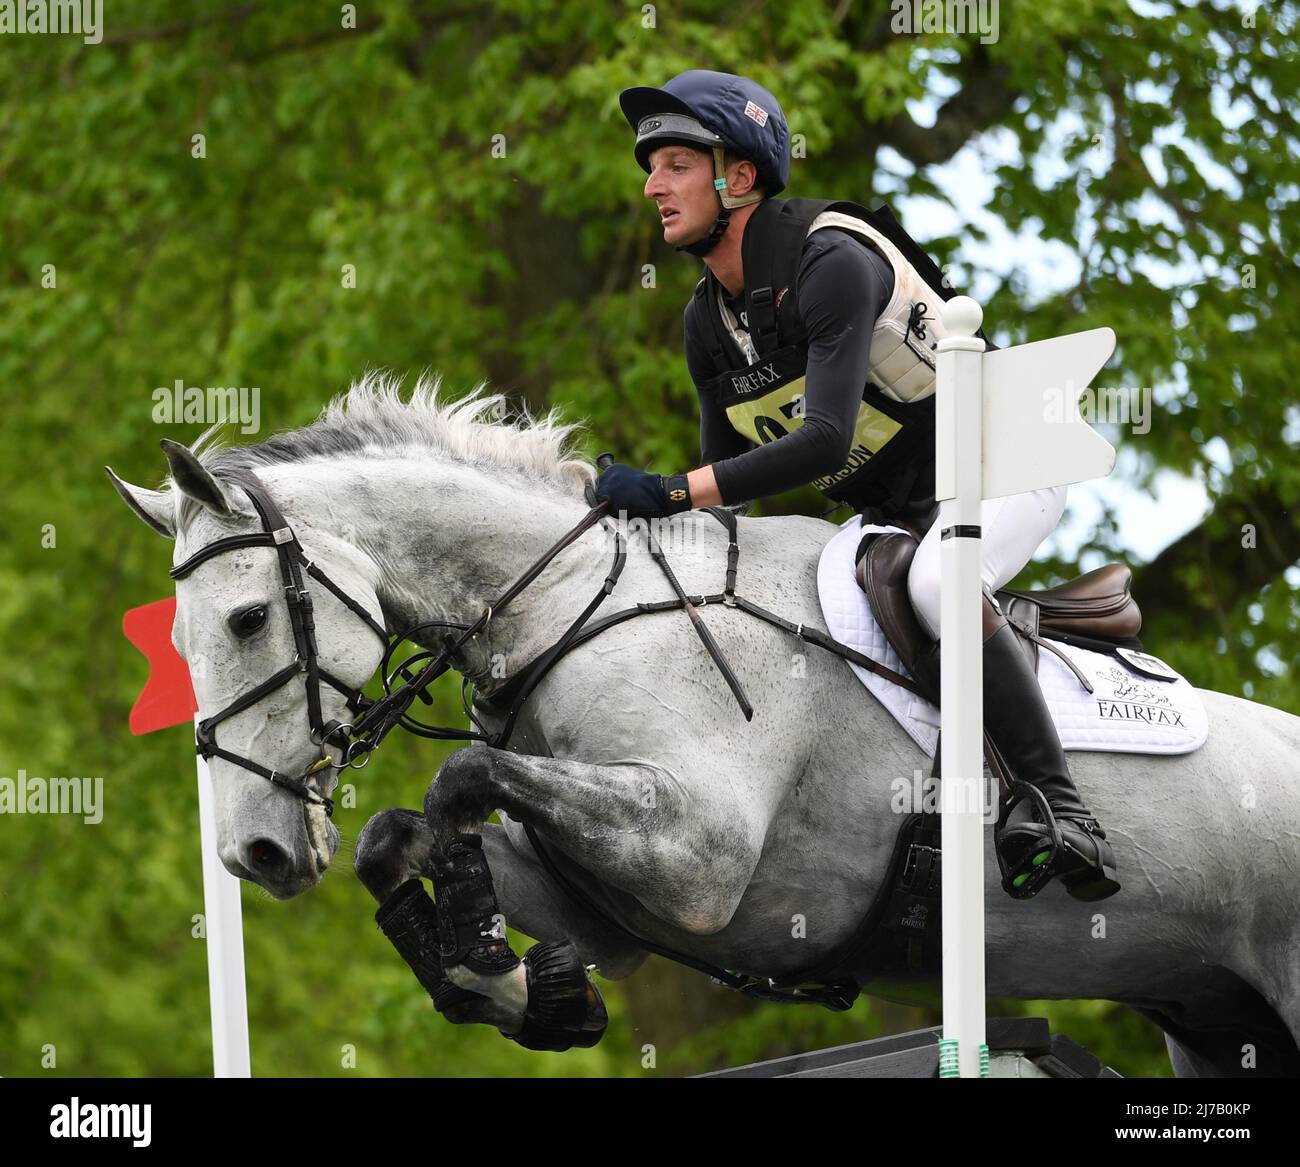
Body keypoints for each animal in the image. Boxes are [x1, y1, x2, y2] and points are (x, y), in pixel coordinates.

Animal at [108, 373, 1300, 1076]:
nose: (252, 853)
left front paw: (489, 951)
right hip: (1218, 1022)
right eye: (181, 649)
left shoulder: (697, 854)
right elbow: (395, 835)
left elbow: (459, 783)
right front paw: (516, 987)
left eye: (248, 619)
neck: (568, 604)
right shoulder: (621, 903)